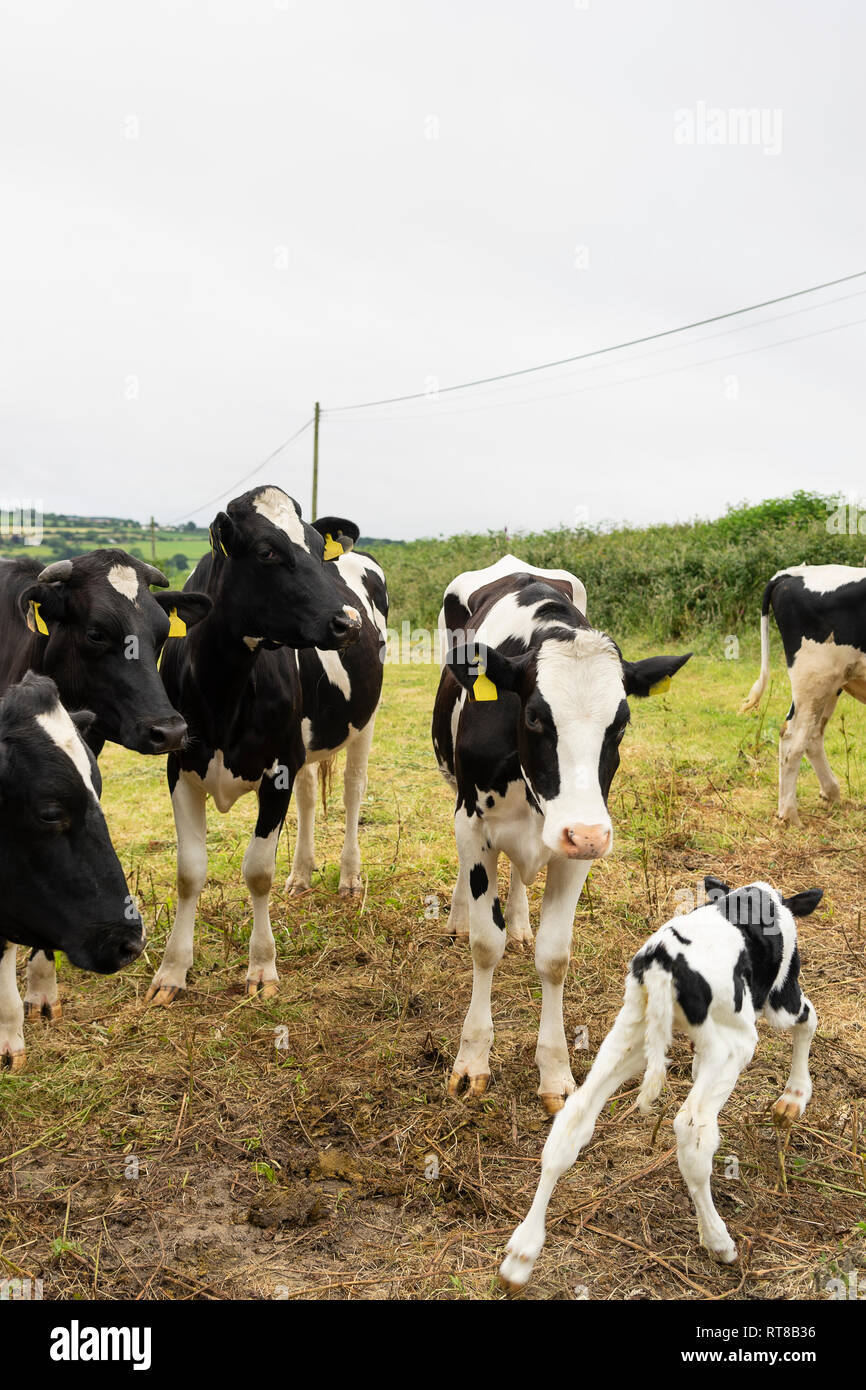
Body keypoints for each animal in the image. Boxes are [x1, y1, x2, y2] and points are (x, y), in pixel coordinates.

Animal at [145, 486, 366, 1005]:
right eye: (267, 552)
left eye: (316, 547)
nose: (348, 623)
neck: (222, 689)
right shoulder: (179, 768)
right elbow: (189, 872)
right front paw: (171, 971)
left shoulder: (277, 769)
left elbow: (258, 870)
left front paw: (262, 967)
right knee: (309, 798)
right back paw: (301, 876)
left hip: (360, 726)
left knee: (351, 793)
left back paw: (348, 877)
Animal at [432, 555, 691, 1112]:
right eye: (533, 717)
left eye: (621, 724)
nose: (586, 834)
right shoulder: (474, 823)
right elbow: (485, 944)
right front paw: (472, 1060)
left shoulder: (578, 841)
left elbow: (554, 957)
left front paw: (554, 1072)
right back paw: (460, 916)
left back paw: (520, 922)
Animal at [499, 877, 822, 1288]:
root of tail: (663, 962)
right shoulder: (779, 993)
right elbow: (809, 1019)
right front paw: (794, 1097)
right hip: (736, 1039)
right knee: (694, 1129)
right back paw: (718, 1240)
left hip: (633, 1030)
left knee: (575, 1116)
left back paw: (521, 1254)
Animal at [742, 564, 866, 824]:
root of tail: (793, 572)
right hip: (815, 679)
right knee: (793, 738)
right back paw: (789, 814)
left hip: (827, 684)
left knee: (813, 734)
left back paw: (831, 793)